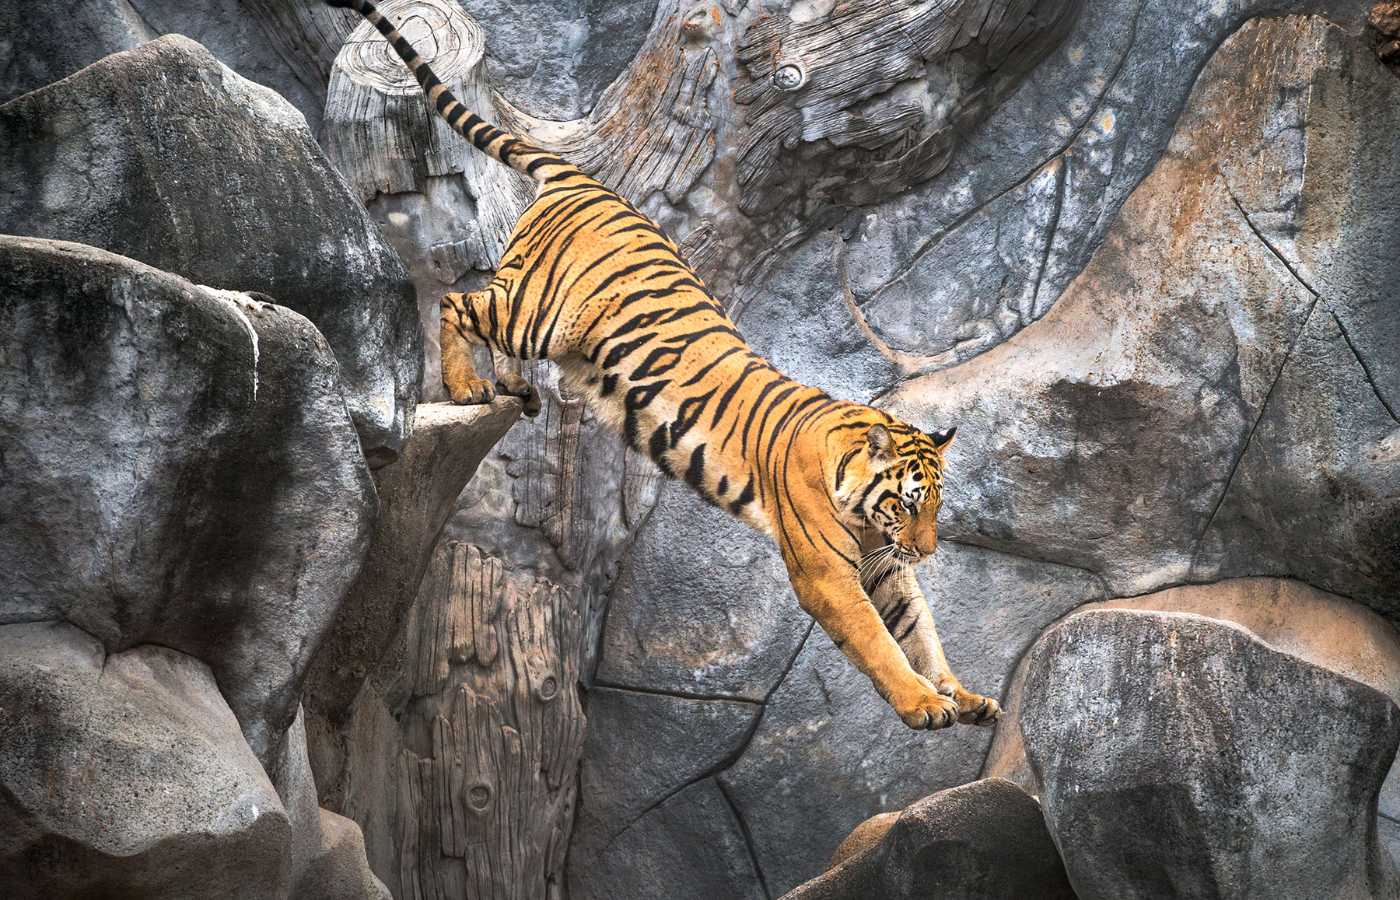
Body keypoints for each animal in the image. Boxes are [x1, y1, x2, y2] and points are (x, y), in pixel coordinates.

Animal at [327, 0, 1000, 731]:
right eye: (906, 504)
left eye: (934, 504)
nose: (928, 551)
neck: (860, 504)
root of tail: (586, 180)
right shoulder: (829, 574)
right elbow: (881, 642)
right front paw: (922, 704)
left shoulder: (884, 567)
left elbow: (919, 631)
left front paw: (962, 695)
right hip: (538, 312)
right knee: (458, 301)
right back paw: (466, 384)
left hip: (536, 314)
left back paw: (507, 386)